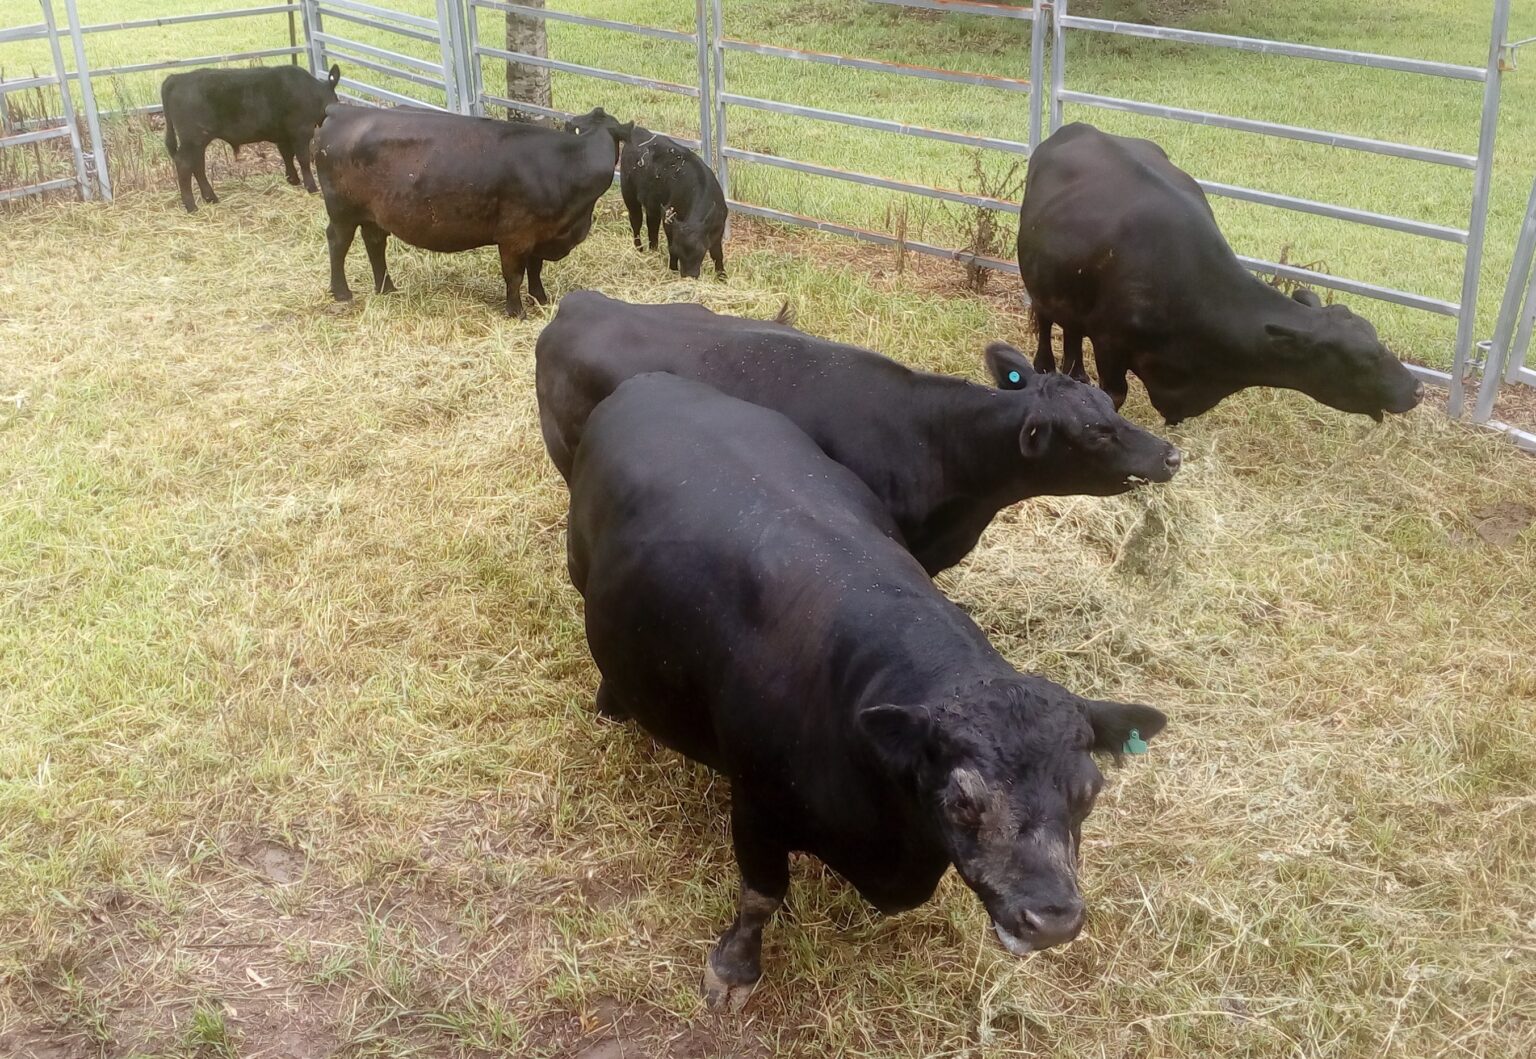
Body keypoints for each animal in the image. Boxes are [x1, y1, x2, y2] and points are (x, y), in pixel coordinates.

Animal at [160, 64, 341, 213]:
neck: (313, 93)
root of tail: (177, 78)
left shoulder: (283, 134)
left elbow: (287, 155)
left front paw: (293, 179)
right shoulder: (301, 131)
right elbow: (303, 159)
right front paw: (311, 187)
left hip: (197, 141)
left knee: (197, 166)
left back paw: (210, 198)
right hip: (193, 139)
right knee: (184, 165)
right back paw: (191, 206)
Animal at [312, 105, 632, 316]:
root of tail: (342, 109)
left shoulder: (540, 235)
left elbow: (535, 268)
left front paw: (541, 298)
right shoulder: (515, 236)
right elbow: (514, 275)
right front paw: (516, 311)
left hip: (373, 214)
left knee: (375, 243)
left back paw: (386, 288)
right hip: (342, 211)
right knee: (338, 243)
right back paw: (342, 292)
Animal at [567, 371, 1168, 1009]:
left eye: (1090, 791)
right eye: (963, 801)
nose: (1051, 919)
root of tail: (647, 382)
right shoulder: (754, 801)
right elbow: (761, 895)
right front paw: (734, 969)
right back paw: (612, 705)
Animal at [568, 111, 727, 279]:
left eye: (701, 251)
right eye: (678, 250)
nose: (689, 276)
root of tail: (638, 131)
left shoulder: (717, 229)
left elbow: (717, 254)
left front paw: (722, 276)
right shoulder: (669, 221)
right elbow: (670, 245)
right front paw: (672, 269)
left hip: (653, 206)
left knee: (652, 227)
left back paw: (653, 249)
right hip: (629, 194)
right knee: (636, 221)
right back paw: (640, 249)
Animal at [1016, 122, 1425, 425]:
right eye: (1362, 360)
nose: (1418, 389)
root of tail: (1076, 127)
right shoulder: (1110, 342)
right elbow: (1113, 394)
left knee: (1071, 332)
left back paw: (1075, 375)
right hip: (1041, 286)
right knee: (1048, 324)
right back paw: (1046, 368)